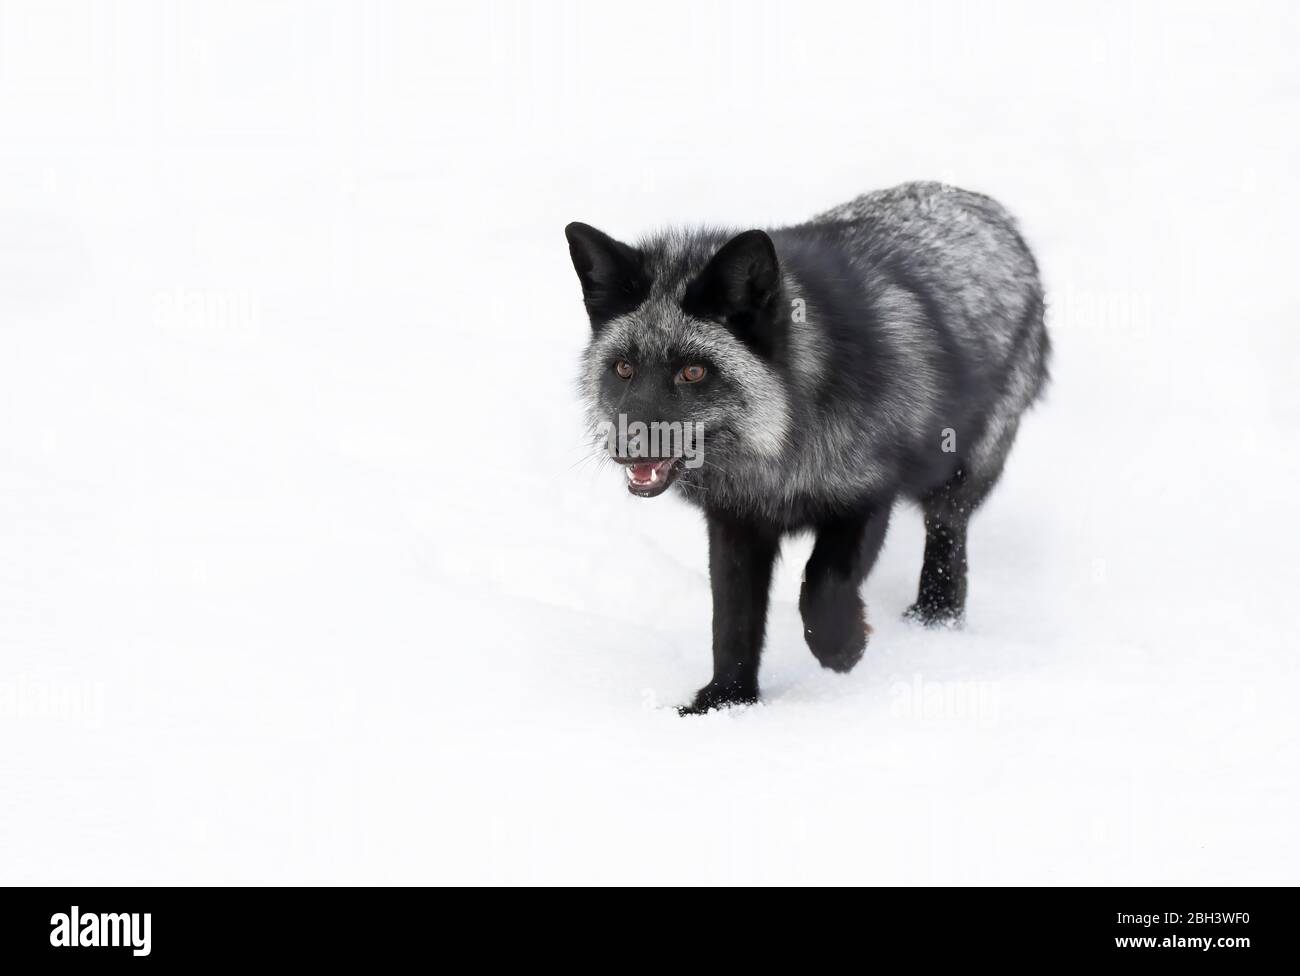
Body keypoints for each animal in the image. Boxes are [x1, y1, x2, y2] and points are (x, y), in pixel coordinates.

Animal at [565, 182, 1049, 714]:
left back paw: (937, 616)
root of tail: (981, 201)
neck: (777, 453)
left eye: (692, 371)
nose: (628, 445)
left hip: (964, 463)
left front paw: (841, 648)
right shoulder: (734, 520)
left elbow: (820, 584)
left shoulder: (867, 494)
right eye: (624, 369)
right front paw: (725, 701)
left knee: (948, 526)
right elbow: (732, 618)